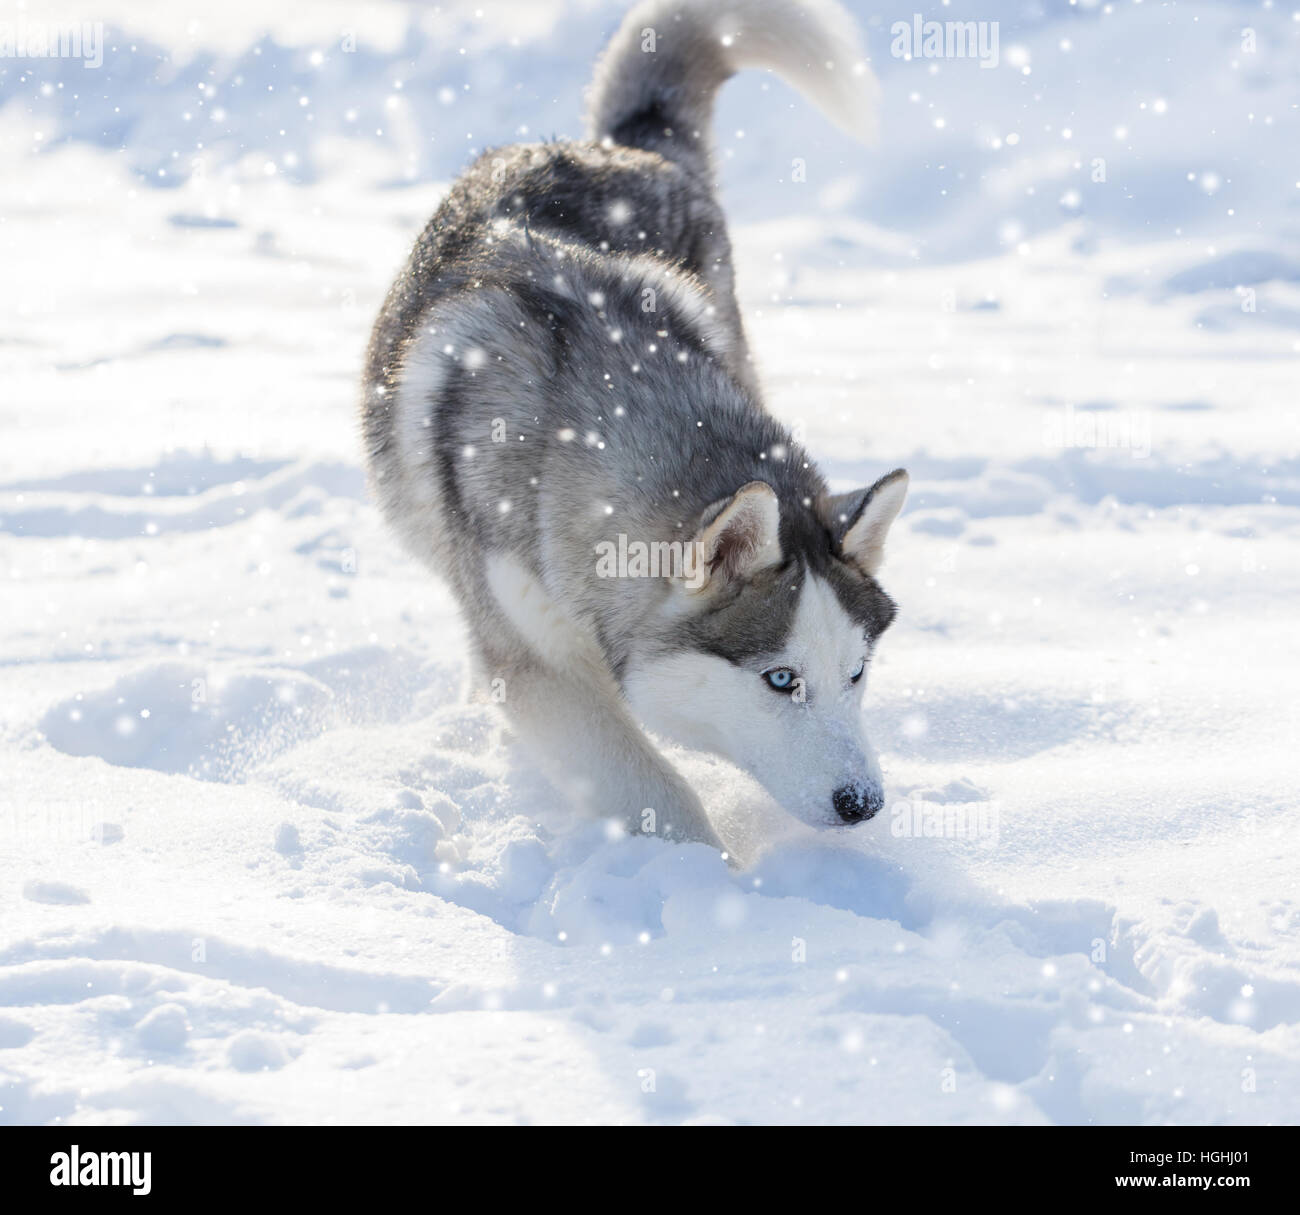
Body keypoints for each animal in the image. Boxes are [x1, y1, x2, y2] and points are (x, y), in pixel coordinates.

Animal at [361, 0, 908, 850]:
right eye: (780, 678)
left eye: (857, 671)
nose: (864, 802)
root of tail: (617, 144)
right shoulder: (539, 668)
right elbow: (656, 793)